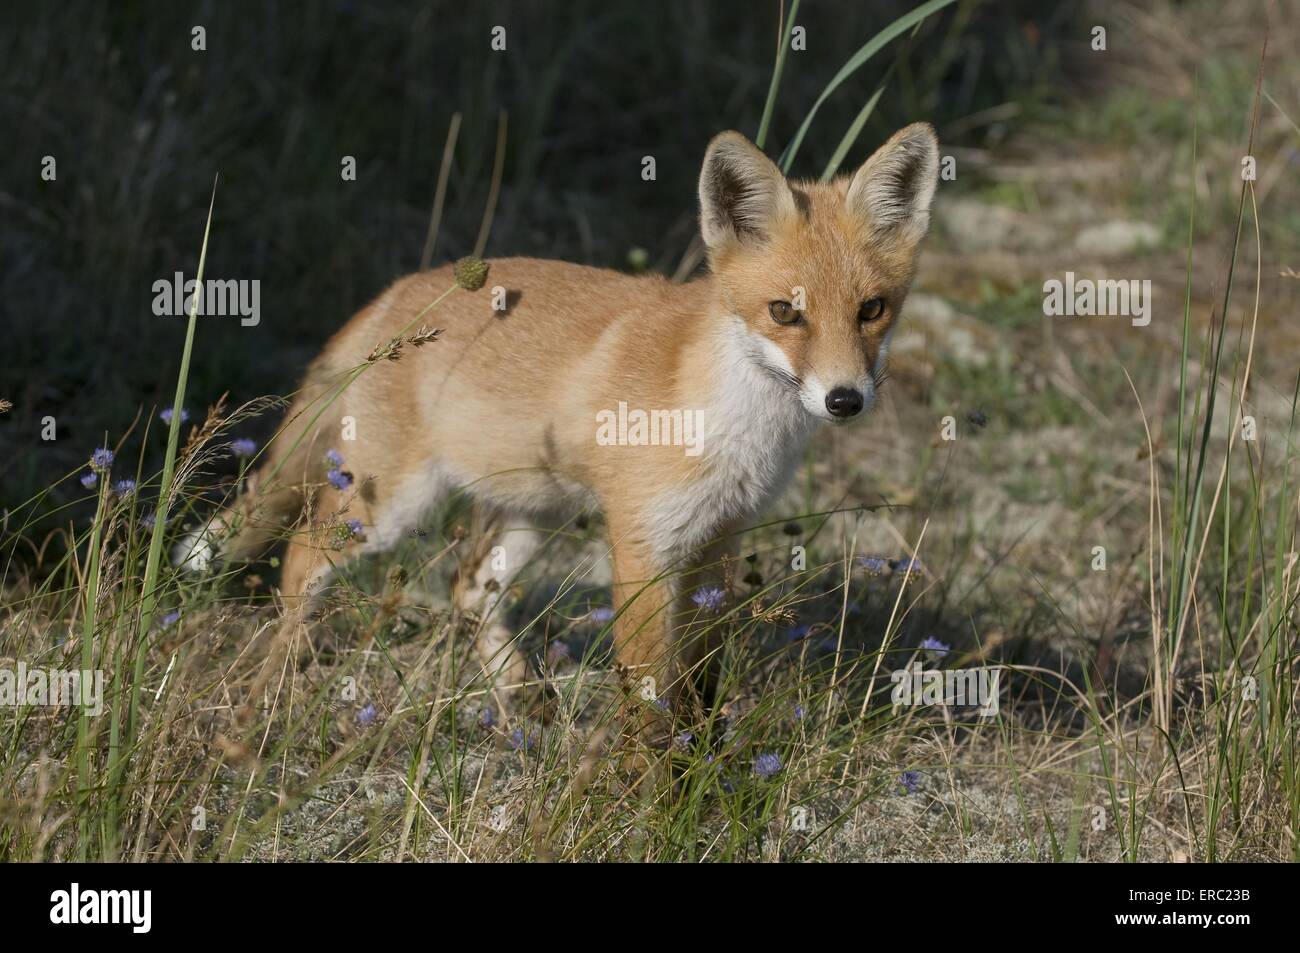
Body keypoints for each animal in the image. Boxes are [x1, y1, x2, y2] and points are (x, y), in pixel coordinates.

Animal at [175, 122, 939, 741]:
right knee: (301, 562)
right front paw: (653, 796)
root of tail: (394, 297)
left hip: (531, 511)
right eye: (785, 311)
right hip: (386, 506)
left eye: (871, 309)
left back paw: (517, 699)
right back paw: (273, 691)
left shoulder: (720, 538)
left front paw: (705, 762)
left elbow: (702, 680)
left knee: (469, 589)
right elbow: (649, 698)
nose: (845, 399)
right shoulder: (643, 544)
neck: (733, 429)